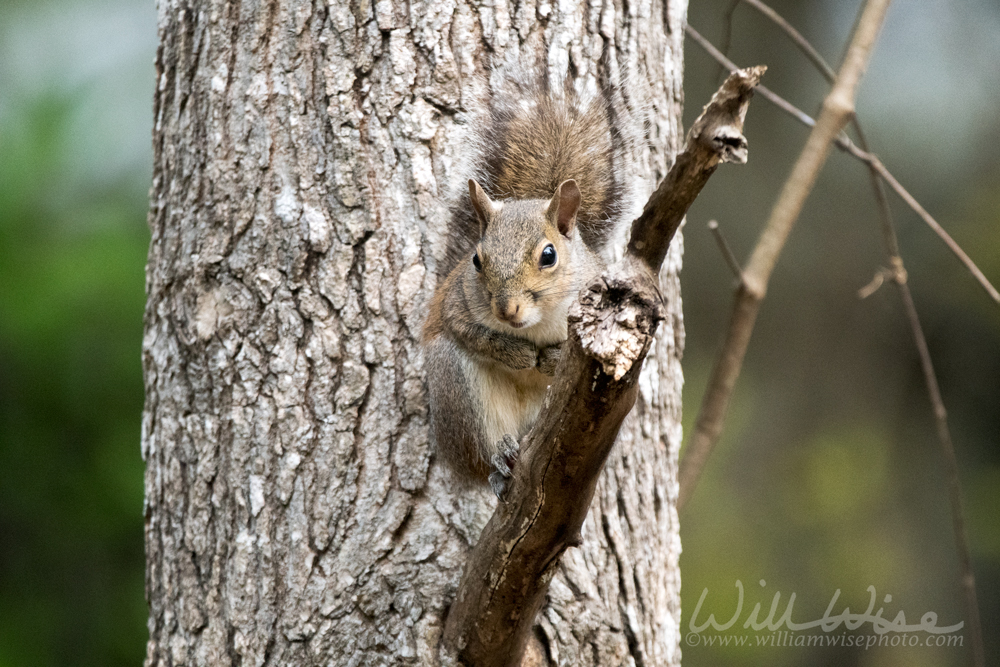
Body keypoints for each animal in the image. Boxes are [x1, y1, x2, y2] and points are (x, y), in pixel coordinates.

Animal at [422, 61, 639, 497]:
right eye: (476, 259)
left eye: (549, 256)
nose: (507, 310)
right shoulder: (457, 305)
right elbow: (473, 334)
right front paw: (519, 355)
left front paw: (549, 359)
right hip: (457, 389)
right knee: (482, 455)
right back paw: (500, 461)